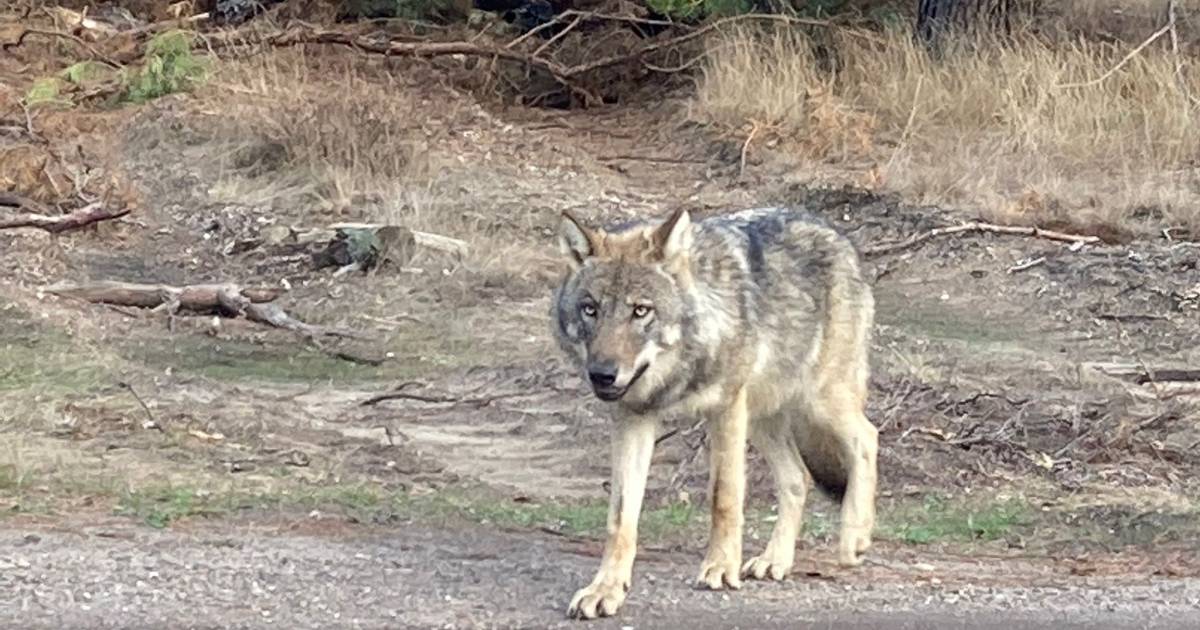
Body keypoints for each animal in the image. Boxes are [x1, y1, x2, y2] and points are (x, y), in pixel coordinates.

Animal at [551, 205, 879, 620]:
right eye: (590, 310)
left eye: (641, 311)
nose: (602, 375)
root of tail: (838, 234)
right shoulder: (632, 418)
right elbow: (620, 517)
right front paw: (606, 589)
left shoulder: (725, 408)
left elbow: (724, 496)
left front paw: (721, 568)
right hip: (764, 418)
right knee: (797, 478)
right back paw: (775, 560)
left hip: (818, 402)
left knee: (867, 437)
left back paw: (855, 537)